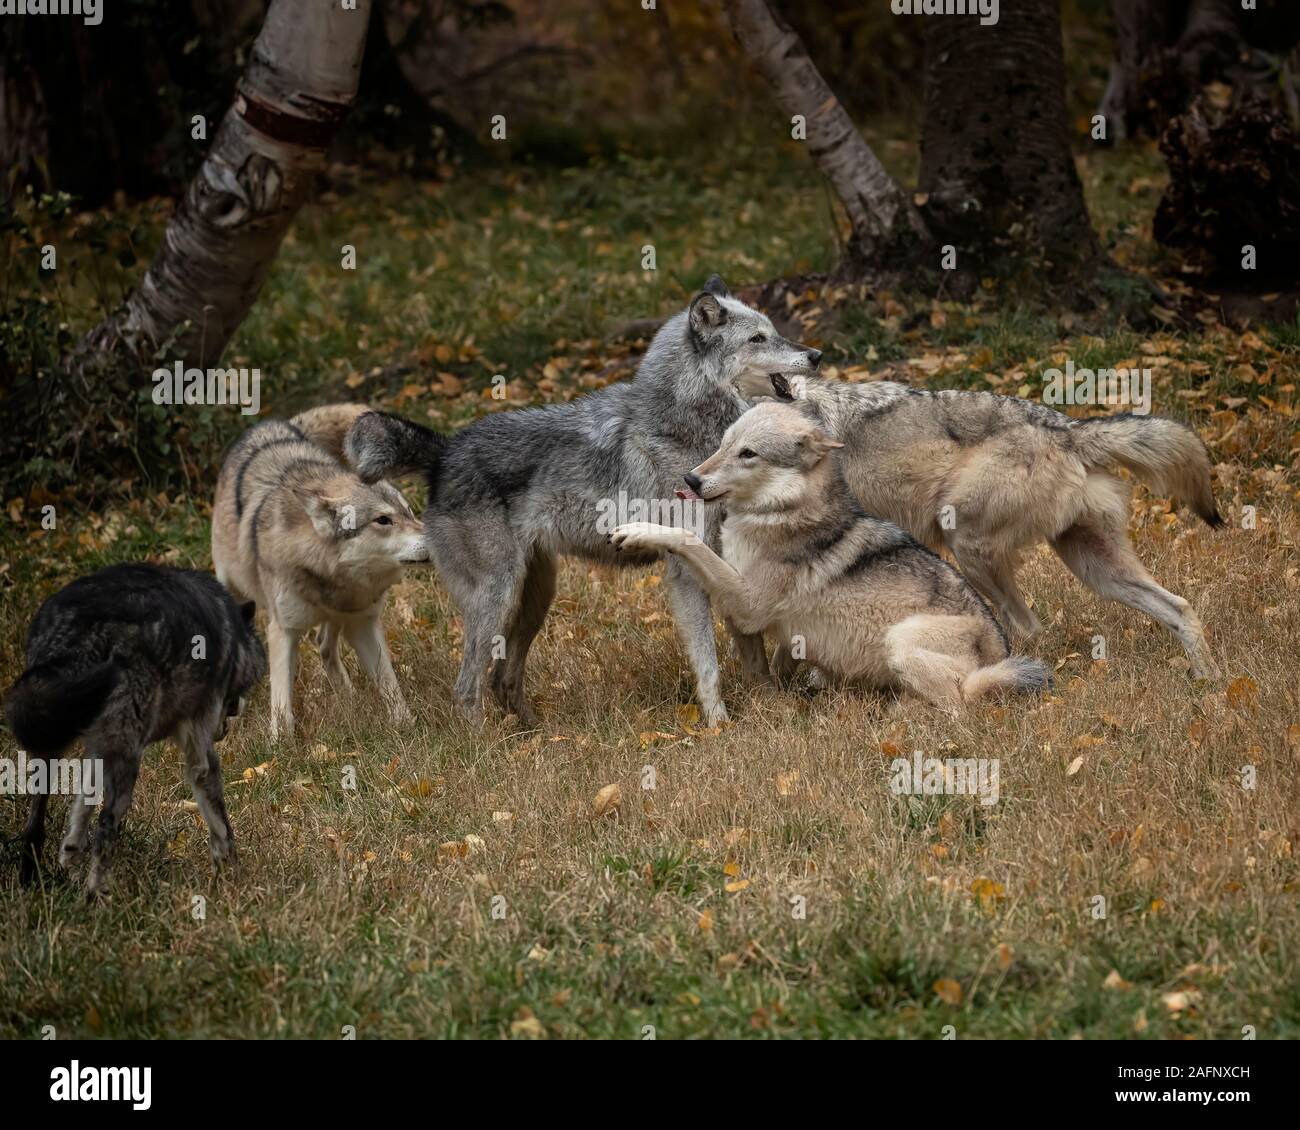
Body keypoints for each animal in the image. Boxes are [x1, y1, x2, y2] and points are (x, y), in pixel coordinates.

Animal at [4, 564, 265, 896]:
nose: (226, 729)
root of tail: (82, 630)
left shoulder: (98, 749)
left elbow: (81, 805)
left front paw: (70, 857)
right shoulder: (200, 754)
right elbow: (222, 825)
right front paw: (234, 876)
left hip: (50, 747)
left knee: (35, 823)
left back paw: (32, 881)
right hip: (128, 762)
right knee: (105, 829)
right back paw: (95, 895)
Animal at [211, 412, 429, 740]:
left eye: (409, 511)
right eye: (383, 520)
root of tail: (275, 423)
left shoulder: (362, 622)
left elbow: (390, 684)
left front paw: (408, 728)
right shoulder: (283, 631)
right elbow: (281, 704)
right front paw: (280, 747)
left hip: (341, 620)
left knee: (324, 643)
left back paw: (348, 696)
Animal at [345, 276, 822, 726]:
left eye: (775, 331)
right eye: (758, 338)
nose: (817, 354)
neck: (686, 425)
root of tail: (444, 452)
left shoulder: (721, 559)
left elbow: (751, 644)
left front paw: (771, 705)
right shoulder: (685, 569)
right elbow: (708, 663)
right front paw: (718, 724)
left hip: (536, 596)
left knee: (501, 679)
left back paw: (533, 736)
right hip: (498, 596)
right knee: (466, 689)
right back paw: (486, 746)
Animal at [610, 402, 1050, 711]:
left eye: (748, 454)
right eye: (723, 444)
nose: (691, 479)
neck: (780, 511)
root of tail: (1000, 652)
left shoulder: (748, 605)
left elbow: (686, 538)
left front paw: (638, 531)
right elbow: (779, 663)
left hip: (900, 641)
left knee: (960, 706)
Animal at [735, 371, 1222, 678]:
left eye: (749, 444)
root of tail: (1067, 427)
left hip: (968, 547)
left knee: (1026, 625)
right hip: (1097, 570)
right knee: (1180, 608)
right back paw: (1209, 681)